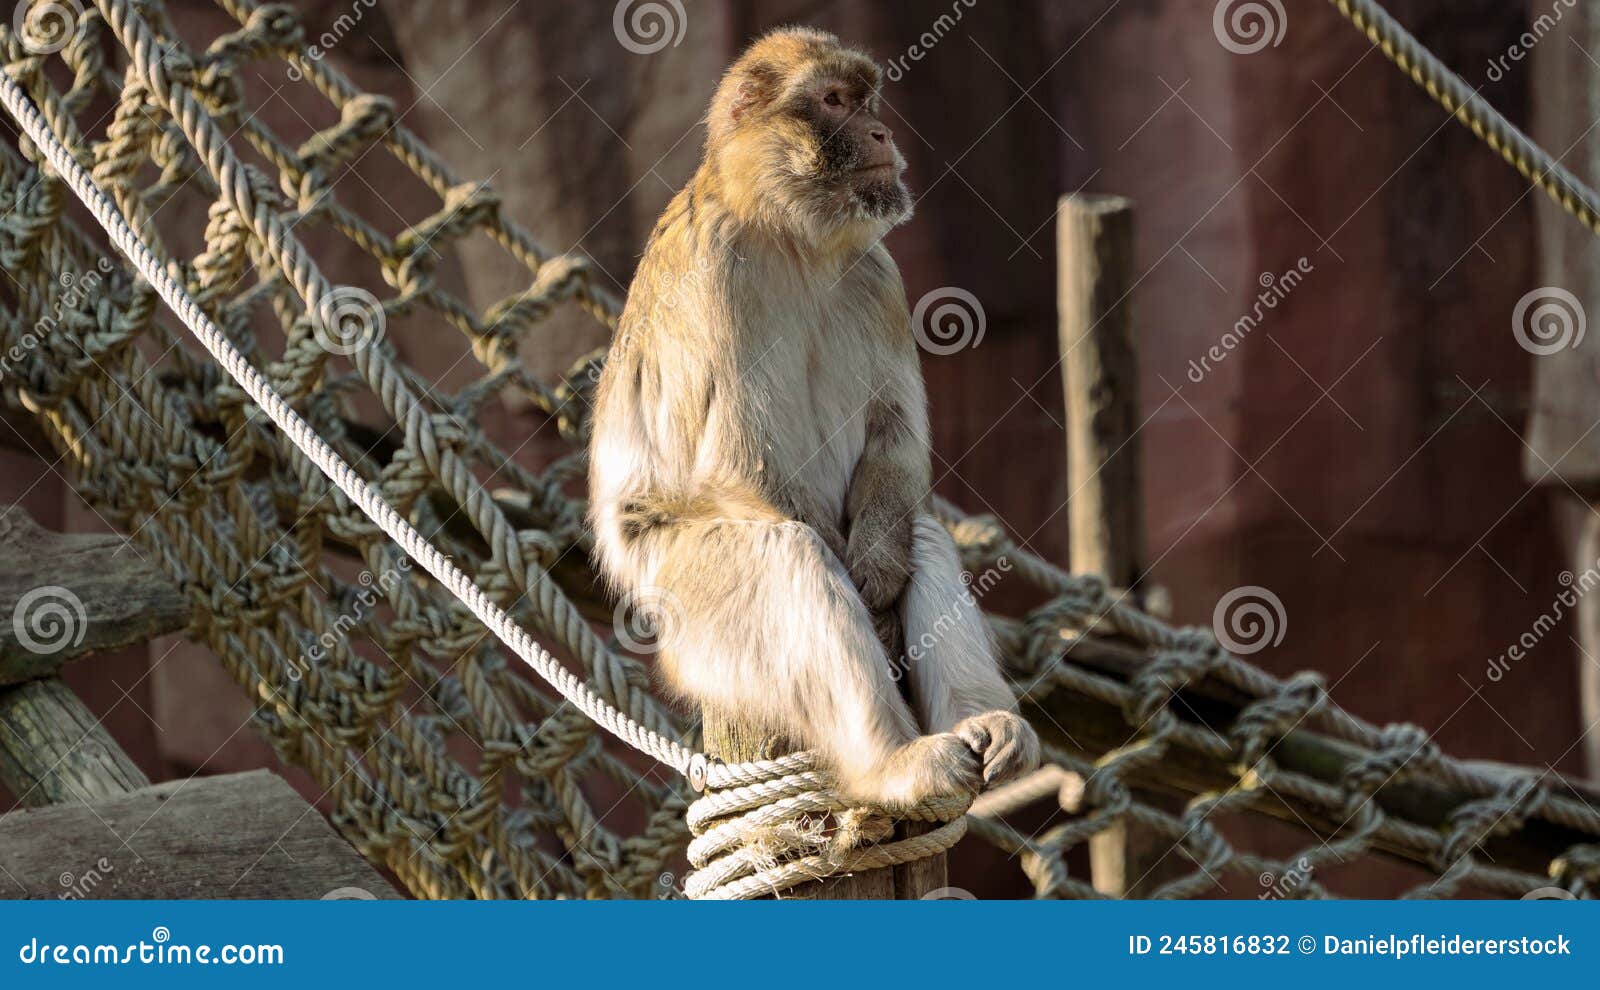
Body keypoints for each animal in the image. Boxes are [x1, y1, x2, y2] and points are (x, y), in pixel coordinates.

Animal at [589, 27, 1039, 809]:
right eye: (834, 101)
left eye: (868, 100)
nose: (882, 132)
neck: (789, 231)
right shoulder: (718, 266)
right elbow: (739, 459)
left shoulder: (878, 270)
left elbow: (895, 430)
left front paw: (879, 573)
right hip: (683, 606)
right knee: (789, 550)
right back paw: (895, 762)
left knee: (916, 526)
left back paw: (987, 726)